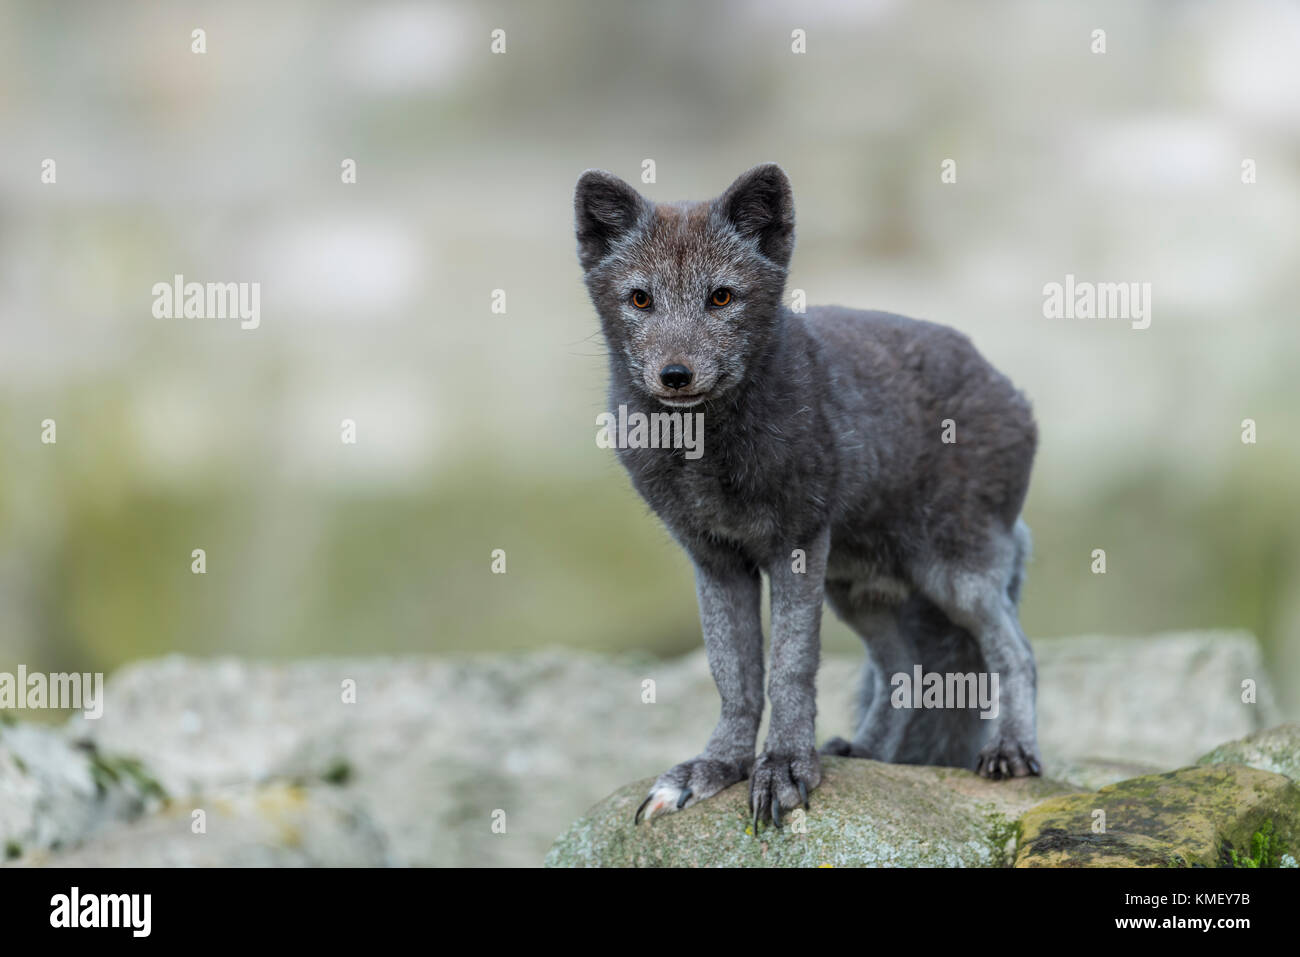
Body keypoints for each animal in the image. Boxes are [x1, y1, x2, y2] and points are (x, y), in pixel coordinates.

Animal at [574, 163, 1040, 828]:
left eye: (722, 297)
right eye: (640, 299)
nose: (676, 375)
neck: (707, 454)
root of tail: (1008, 384)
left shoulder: (796, 545)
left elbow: (790, 669)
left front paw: (785, 768)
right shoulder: (713, 559)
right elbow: (734, 676)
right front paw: (717, 766)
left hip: (955, 577)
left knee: (1015, 651)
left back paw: (1012, 751)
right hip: (857, 590)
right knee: (904, 671)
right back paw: (867, 754)